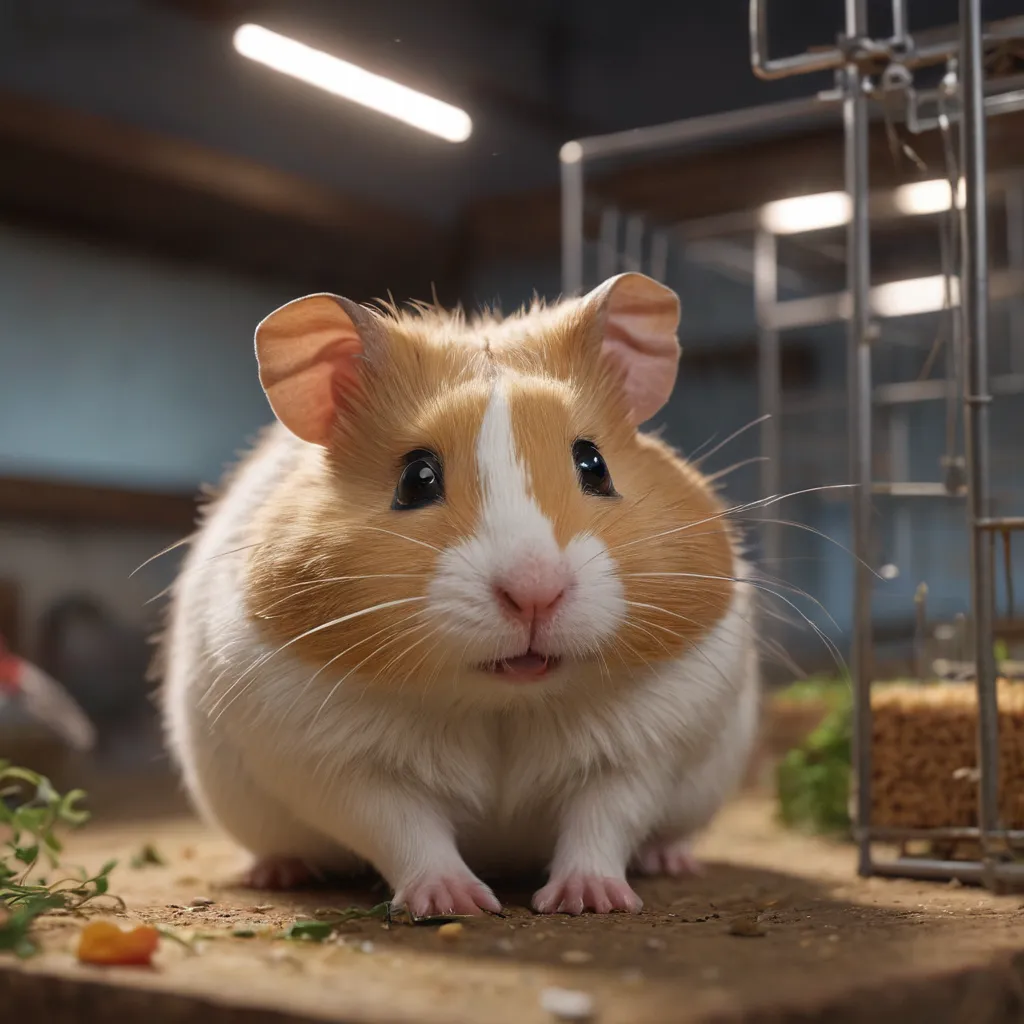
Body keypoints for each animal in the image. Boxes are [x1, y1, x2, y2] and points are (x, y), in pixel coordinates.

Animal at [161, 272, 759, 916]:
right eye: (416, 479)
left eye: (594, 464)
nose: (534, 594)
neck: (501, 702)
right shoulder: (337, 765)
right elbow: (403, 830)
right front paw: (456, 904)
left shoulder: (644, 751)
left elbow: (602, 821)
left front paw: (587, 901)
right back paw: (276, 873)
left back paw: (672, 862)